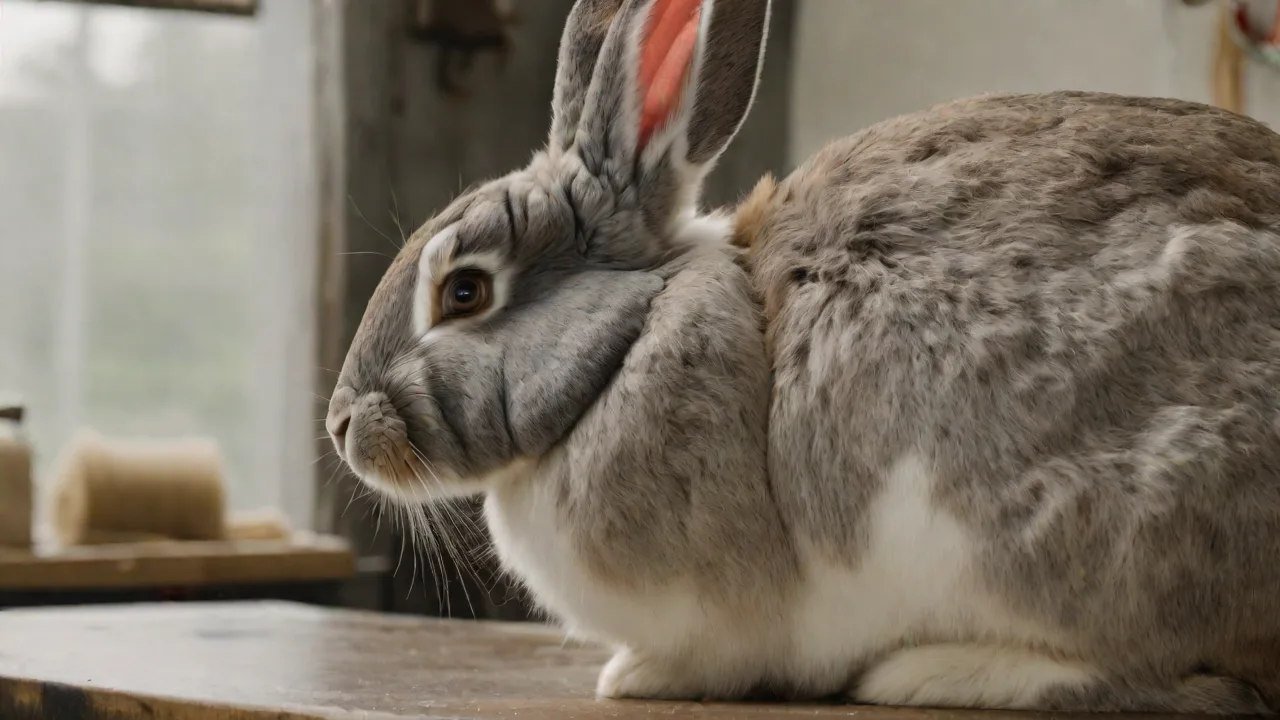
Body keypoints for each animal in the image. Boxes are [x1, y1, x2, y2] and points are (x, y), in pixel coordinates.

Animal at [326, 0, 1280, 713]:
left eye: (464, 292)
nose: (340, 426)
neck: (632, 337)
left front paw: (632, 677)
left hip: (1078, 531)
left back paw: (932, 673)